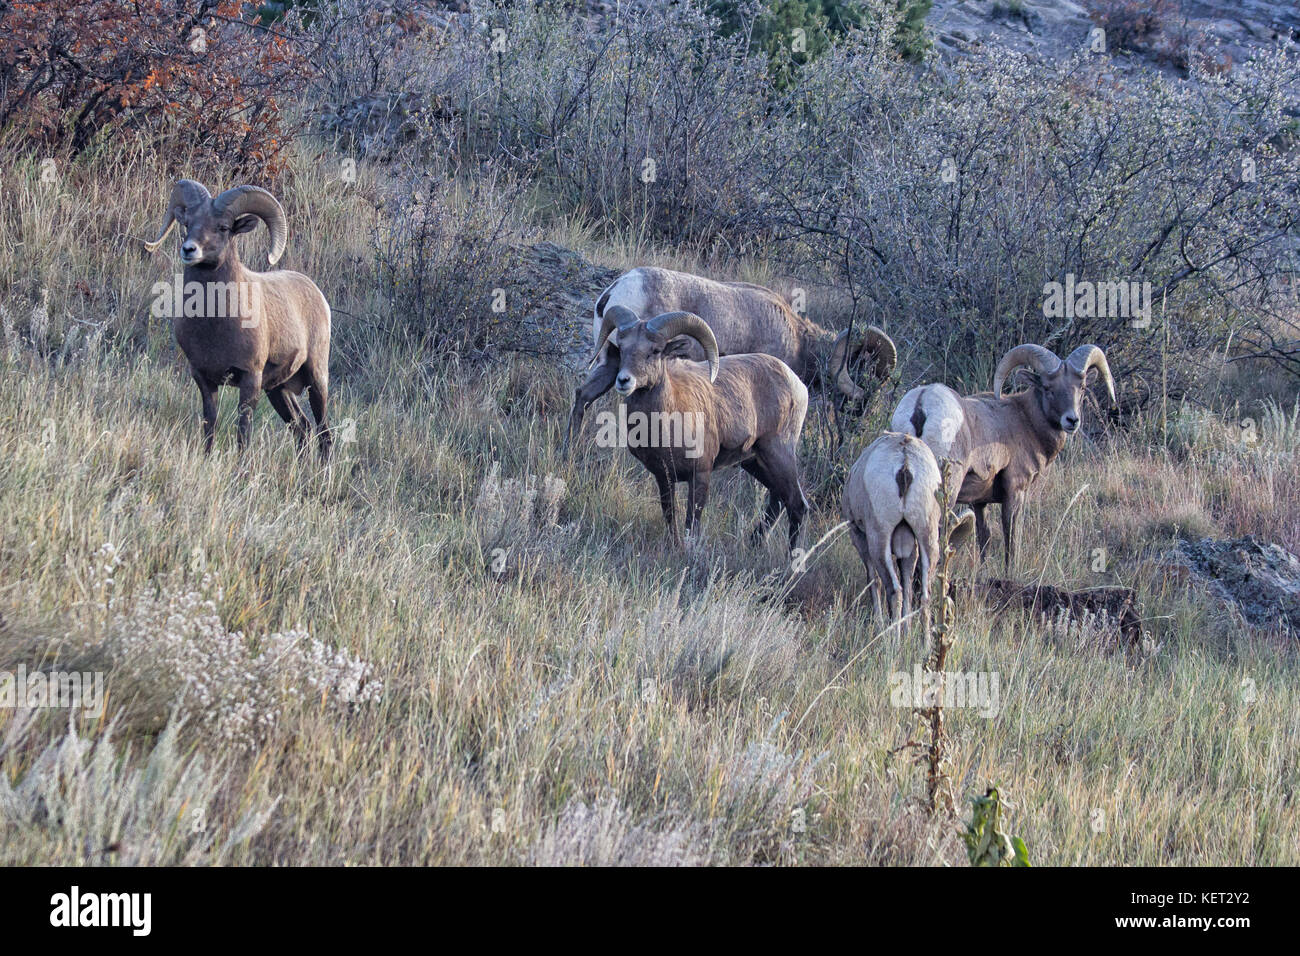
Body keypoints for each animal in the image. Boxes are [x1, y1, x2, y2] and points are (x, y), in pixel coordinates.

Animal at [144, 179, 332, 461]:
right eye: (187, 223)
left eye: (223, 227)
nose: (189, 250)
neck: (214, 324)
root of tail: (317, 295)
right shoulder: (203, 378)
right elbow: (210, 423)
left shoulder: (250, 379)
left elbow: (243, 430)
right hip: (278, 390)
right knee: (303, 429)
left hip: (316, 380)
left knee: (324, 433)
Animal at [593, 305, 810, 552]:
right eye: (622, 348)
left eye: (655, 351)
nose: (624, 381)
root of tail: (798, 385)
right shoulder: (664, 477)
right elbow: (670, 517)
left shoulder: (700, 476)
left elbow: (692, 524)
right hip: (754, 462)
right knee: (778, 500)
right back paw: (755, 544)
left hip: (778, 454)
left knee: (797, 504)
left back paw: (792, 559)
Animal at [842, 432, 975, 633]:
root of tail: (905, 464)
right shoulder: (910, 550)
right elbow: (908, 584)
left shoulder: (859, 537)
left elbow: (874, 581)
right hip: (927, 536)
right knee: (924, 596)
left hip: (879, 539)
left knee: (894, 590)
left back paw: (892, 639)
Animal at [890, 343, 1116, 570]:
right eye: (1047, 388)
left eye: (1082, 387)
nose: (1072, 420)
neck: (1026, 420)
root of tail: (921, 404)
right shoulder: (1015, 490)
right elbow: (1011, 537)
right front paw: (1011, 571)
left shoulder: (979, 502)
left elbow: (985, 537)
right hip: (946, 490)